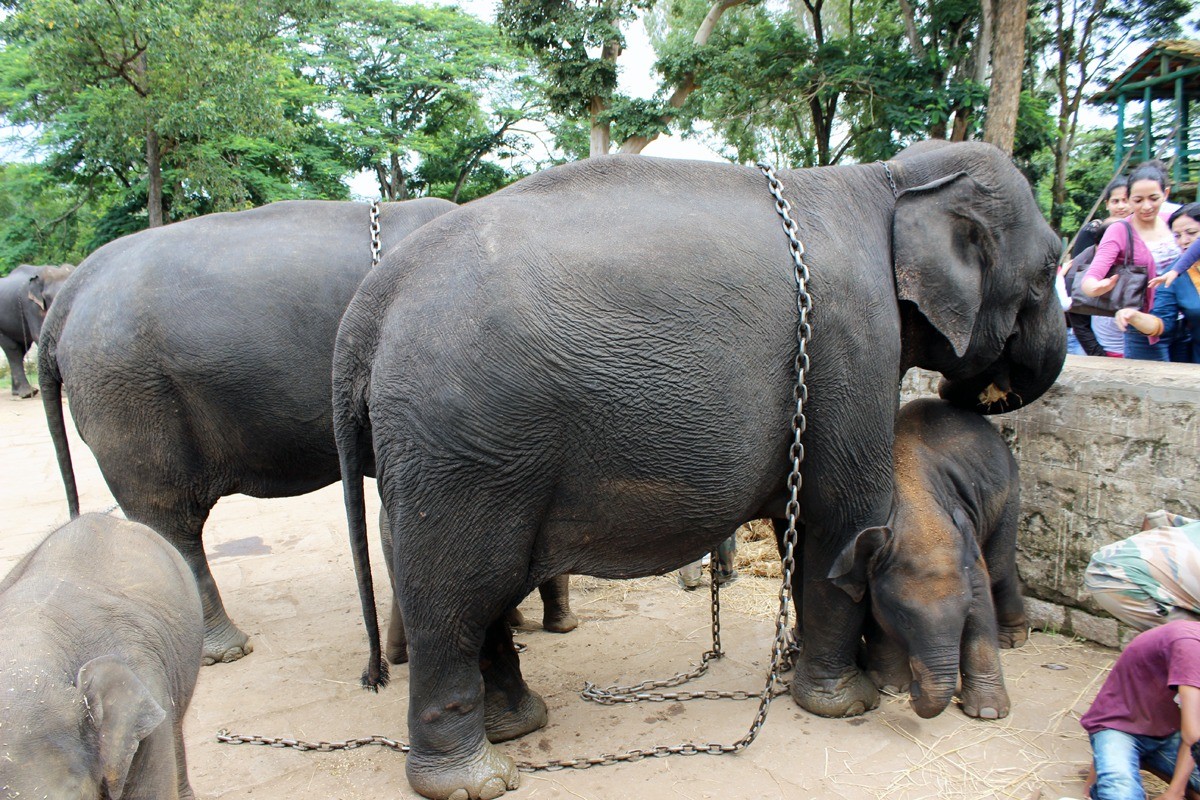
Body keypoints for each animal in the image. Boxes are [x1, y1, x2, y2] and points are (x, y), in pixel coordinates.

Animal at [0, 262, 73, 397]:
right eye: (50, 297)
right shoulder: (29, 304)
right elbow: (38, 335)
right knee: (13, 349)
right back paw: (27, 393)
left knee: (22, 349)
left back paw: (17, 392)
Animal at [829, 397, 1026, 721]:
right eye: (903, 618)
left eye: (964, 613)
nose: (915, 692)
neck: (918, 513)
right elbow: (872, 613)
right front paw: (892, 686)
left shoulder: (965, 548)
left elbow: (982, 602)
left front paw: (987, 712)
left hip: (1009, 494)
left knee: (1000, 570)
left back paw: (1011, 640)